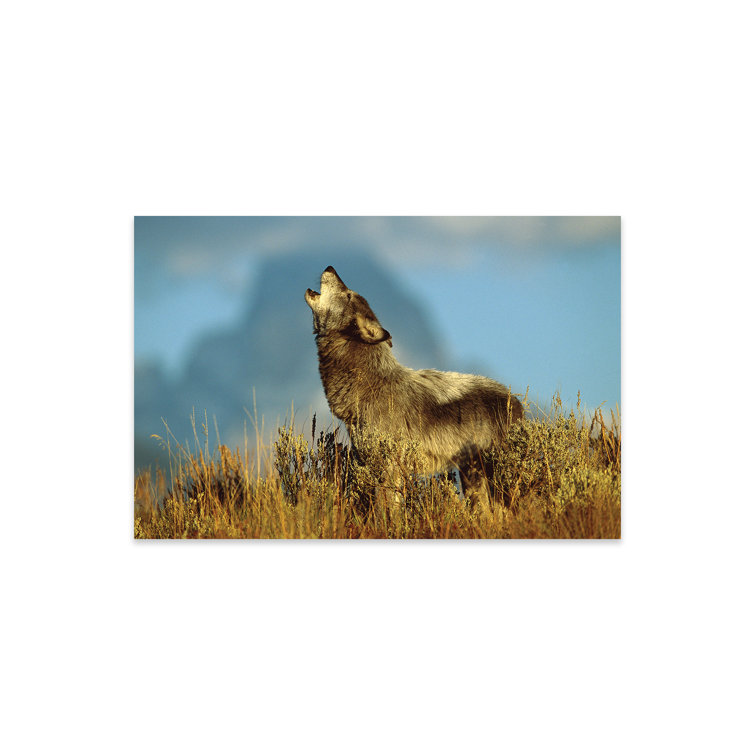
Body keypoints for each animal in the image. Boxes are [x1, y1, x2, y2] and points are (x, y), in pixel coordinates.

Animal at [305, 266, 523, 506]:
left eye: (348, 295)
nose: (330, 268)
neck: (371, 384)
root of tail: (516, 402)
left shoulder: (390, 467)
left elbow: (387, 510)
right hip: (472, 478)